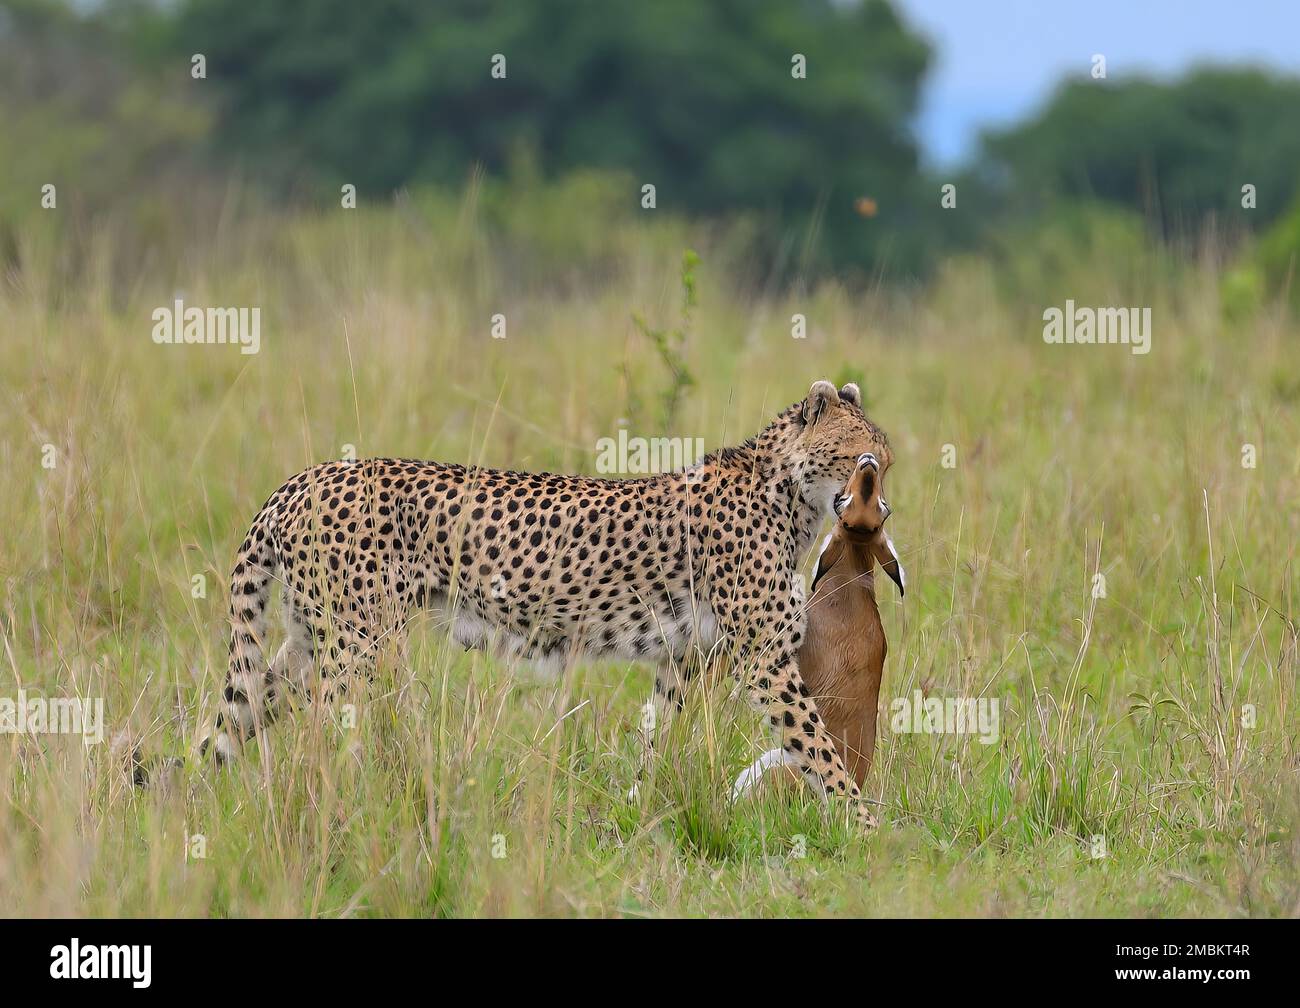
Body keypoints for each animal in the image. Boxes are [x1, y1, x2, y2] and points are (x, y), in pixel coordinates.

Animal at [204, 379, 890, 826]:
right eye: (862, 456)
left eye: (883, 457)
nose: (879, 502)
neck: (788, 490)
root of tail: (305, 476)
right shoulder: (766, 660)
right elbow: (816, 744)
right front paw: (863, 824)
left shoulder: (684, 657)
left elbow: (656, 734)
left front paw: (632, 807)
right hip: (356, 642)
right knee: (324, 731)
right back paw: (342, 806)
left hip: (311, 638)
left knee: (243, 710)